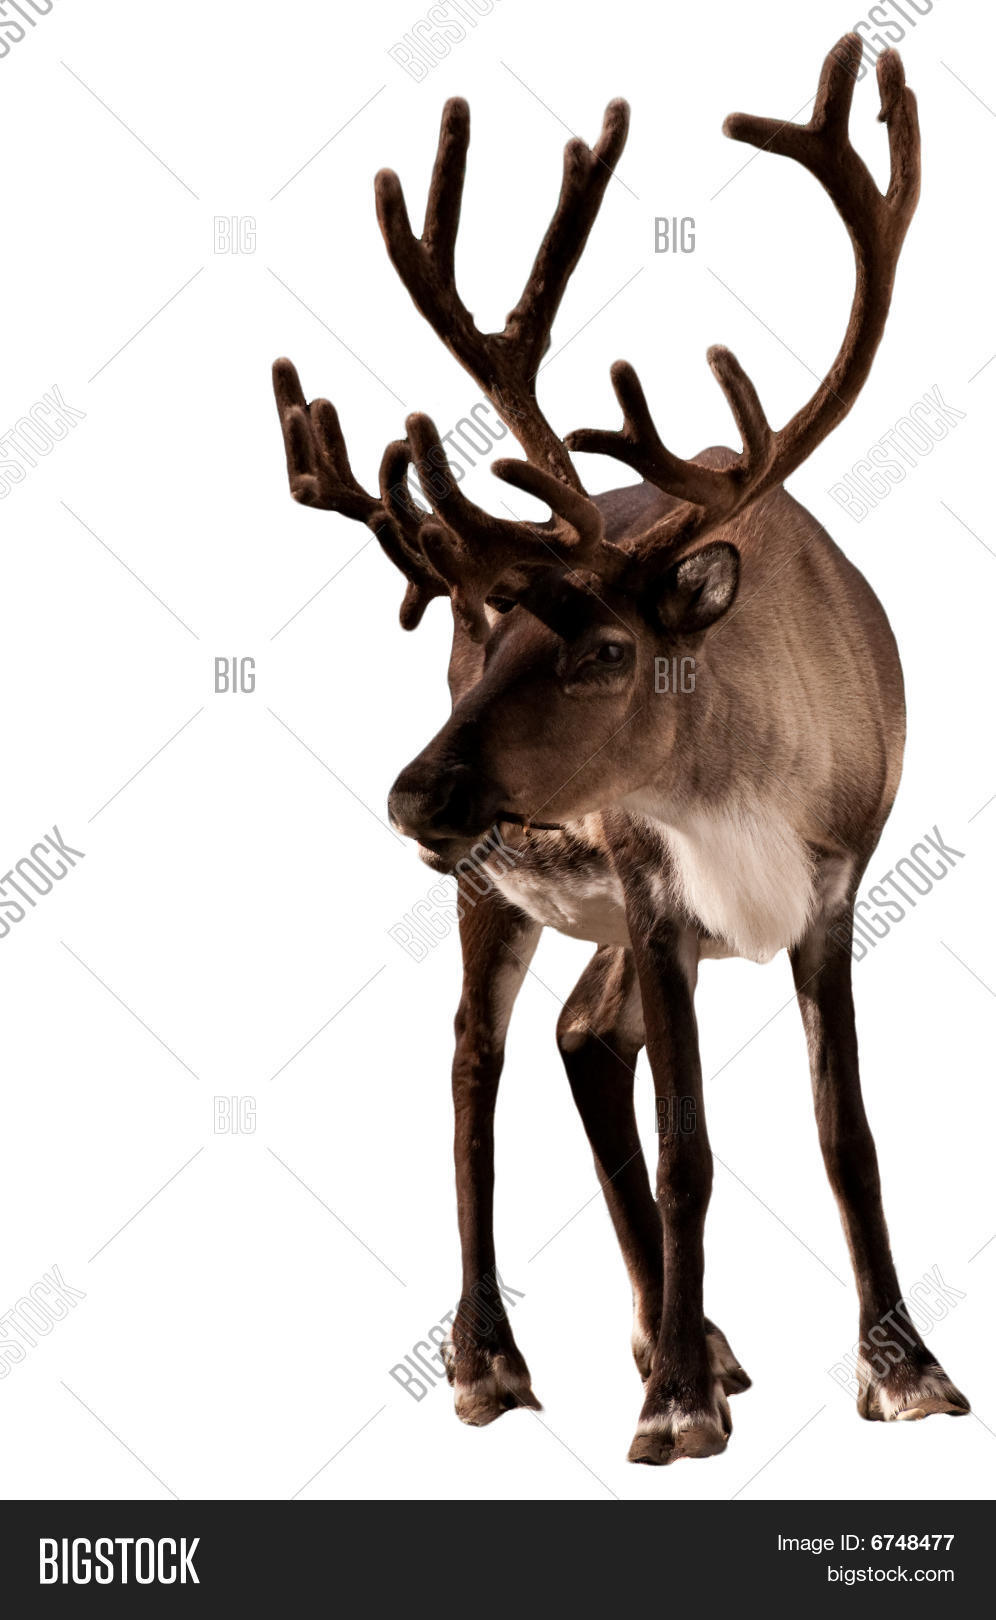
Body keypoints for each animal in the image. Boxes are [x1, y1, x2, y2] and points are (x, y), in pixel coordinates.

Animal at [273, 33, 969, 1465]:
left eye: (602, 647)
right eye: (493, 636)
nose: (406, 794)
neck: (749, 782)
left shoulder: (835, 886)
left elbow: (845, 1131)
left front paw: (905, 1370)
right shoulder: (656, 891)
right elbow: (691, 1145)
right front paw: (673, 1409)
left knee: (581, 1038)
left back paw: (688, 1334)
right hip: (499, 884)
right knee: (476, 1058)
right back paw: (495, 1359)